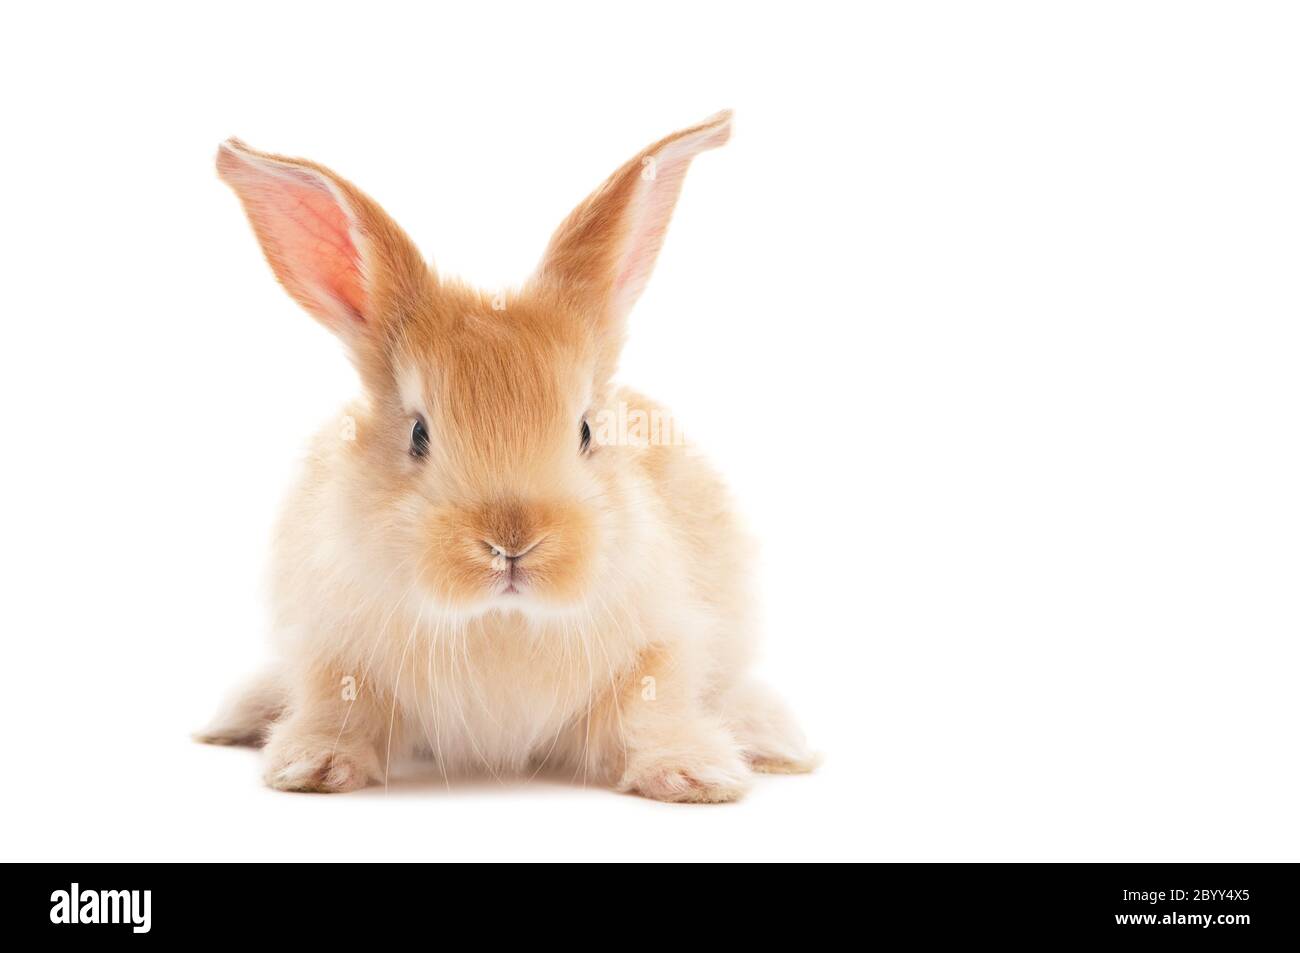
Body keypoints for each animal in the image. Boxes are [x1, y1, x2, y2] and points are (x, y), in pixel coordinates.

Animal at [195, 111, 816, 802]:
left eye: (585, 431)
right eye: (418, 434)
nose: (511, 543)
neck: (501, 620)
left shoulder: (662, 644)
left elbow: (651, 710)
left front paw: (694, 775)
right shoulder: (330, 646)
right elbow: (340, 704)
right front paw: (314, 766)